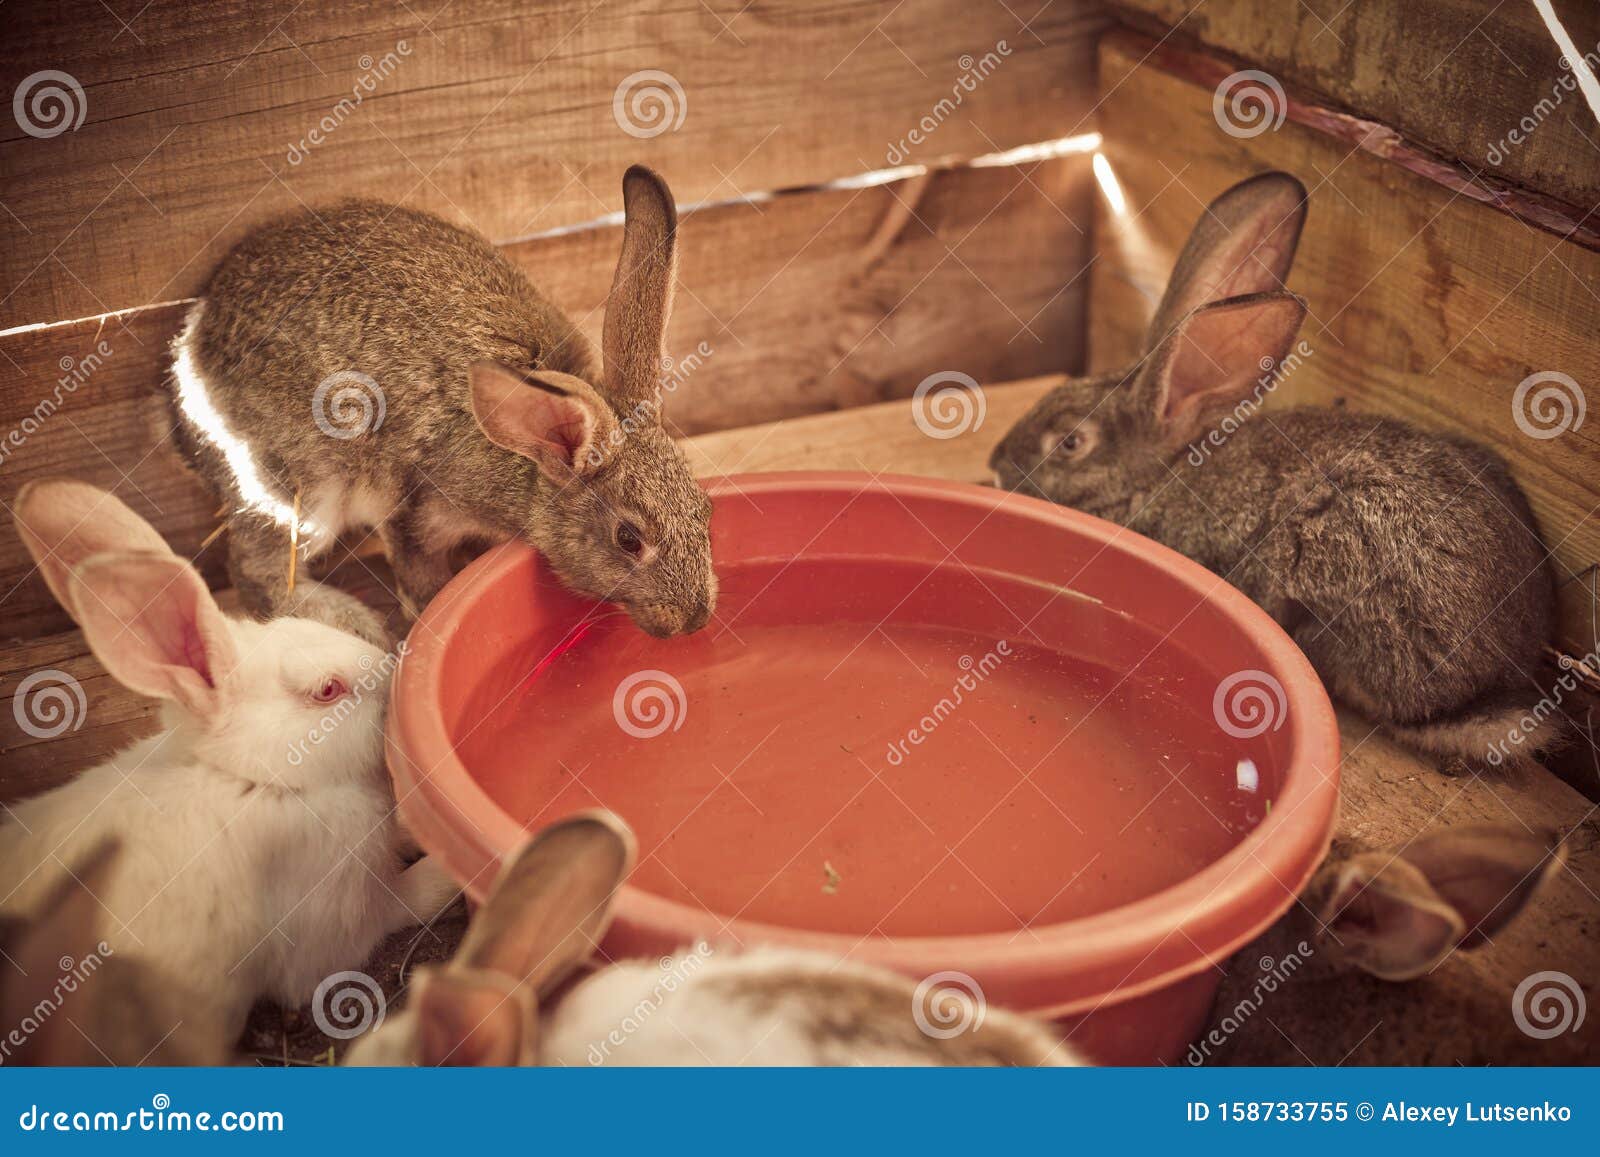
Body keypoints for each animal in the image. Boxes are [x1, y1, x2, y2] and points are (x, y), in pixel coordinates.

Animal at [1, 479, 460, 1061]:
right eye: (327, 690)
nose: (396, 675)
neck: (258, 780)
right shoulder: (343, 925)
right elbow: (407, 901)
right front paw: (449, 870)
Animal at [169, 165, 716, 647]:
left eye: (704, 508)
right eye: (628, 539)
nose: (694, 619)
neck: (530, 464)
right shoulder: (418, 507)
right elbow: (420, 575)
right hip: (305, 489)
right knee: (256, 571)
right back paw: (354, 623)